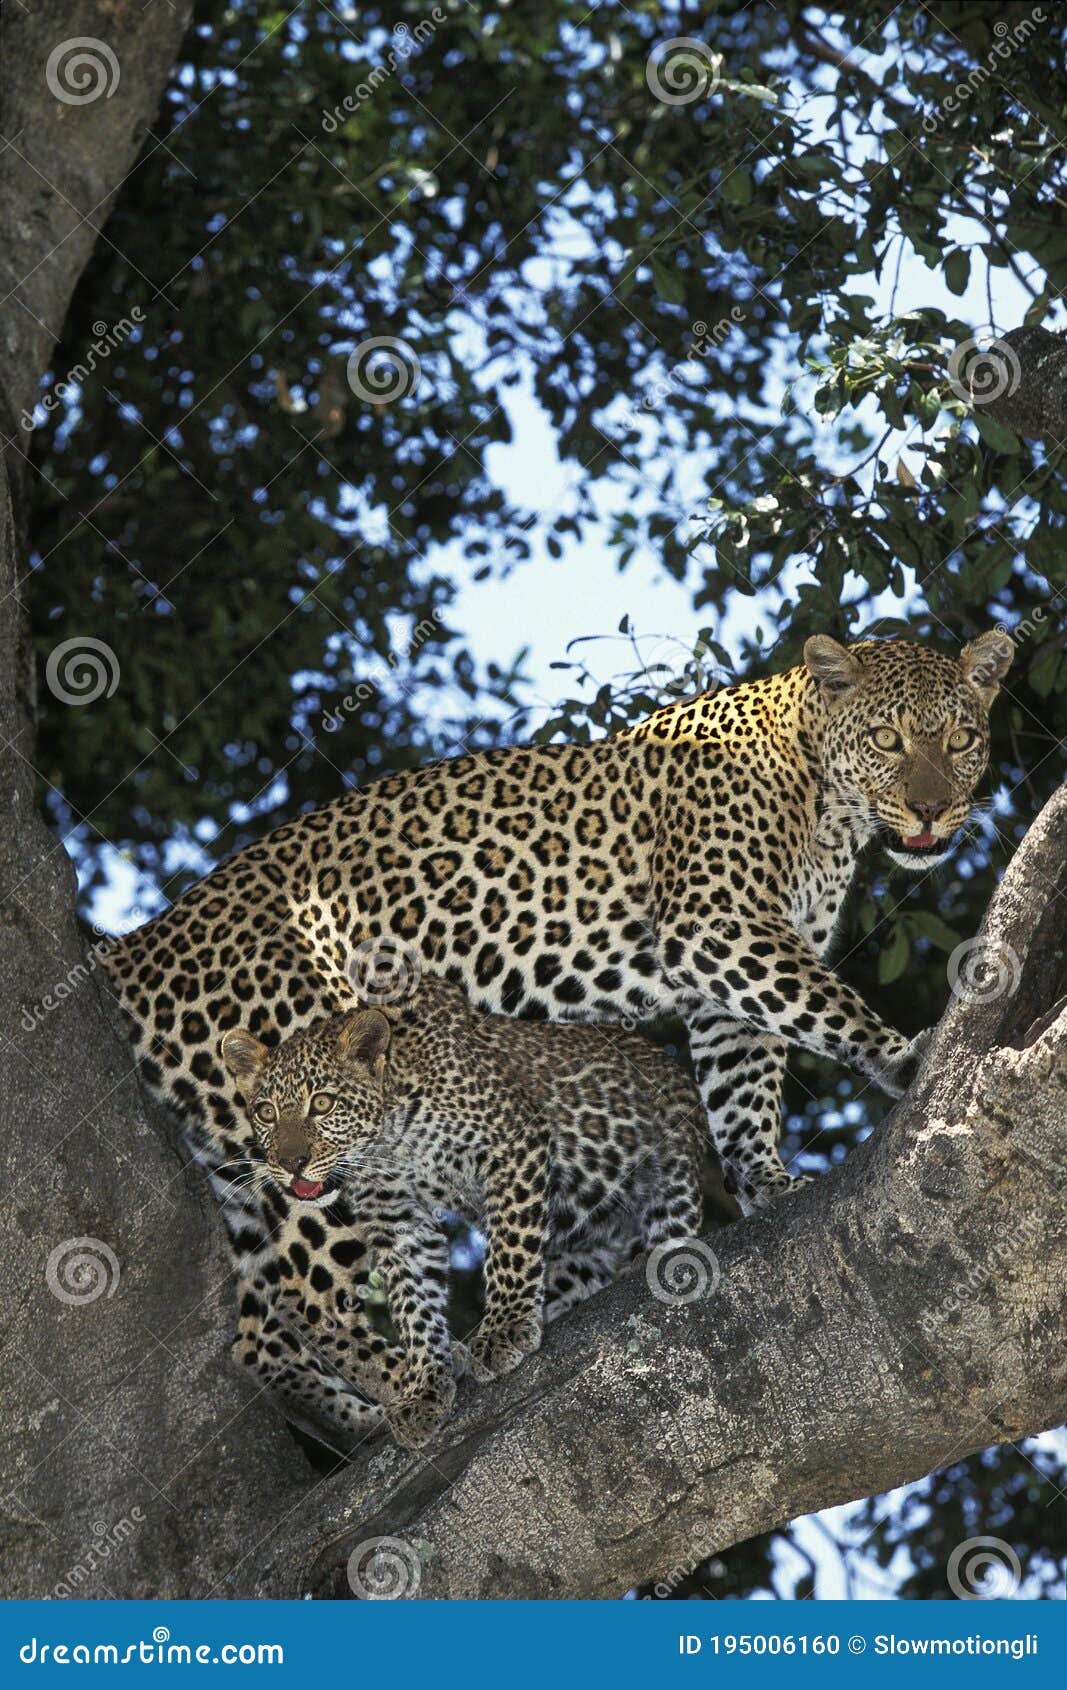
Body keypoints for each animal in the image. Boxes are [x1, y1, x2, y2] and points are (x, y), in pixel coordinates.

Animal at [218, 976, 706, 1446]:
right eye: (265, 1112)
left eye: (322, 1103)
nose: (289, 1163)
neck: (388, 1140)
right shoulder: (397, 1220)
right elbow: (413, 1300)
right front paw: (424, 1388)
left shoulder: (512, 1145)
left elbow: (510, 1248)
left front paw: (504, 1328)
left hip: (673, 1159)